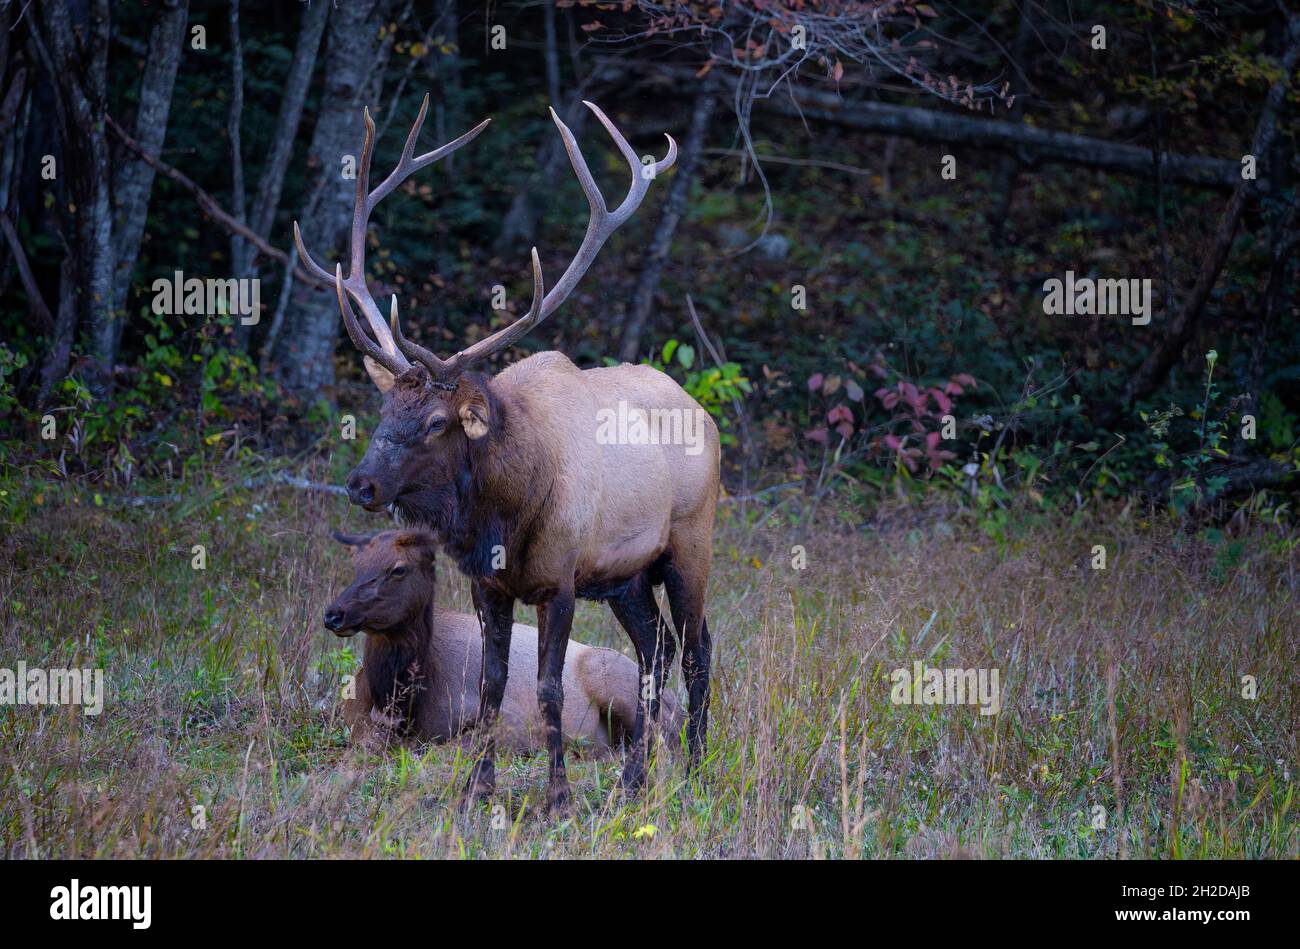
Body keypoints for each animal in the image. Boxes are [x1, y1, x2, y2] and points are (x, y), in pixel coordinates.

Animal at [323, 529, 681, 756]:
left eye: (398, 569)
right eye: (357, 566)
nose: (334, 614)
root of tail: (676, 702)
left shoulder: (511, 719)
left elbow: (442, 750)